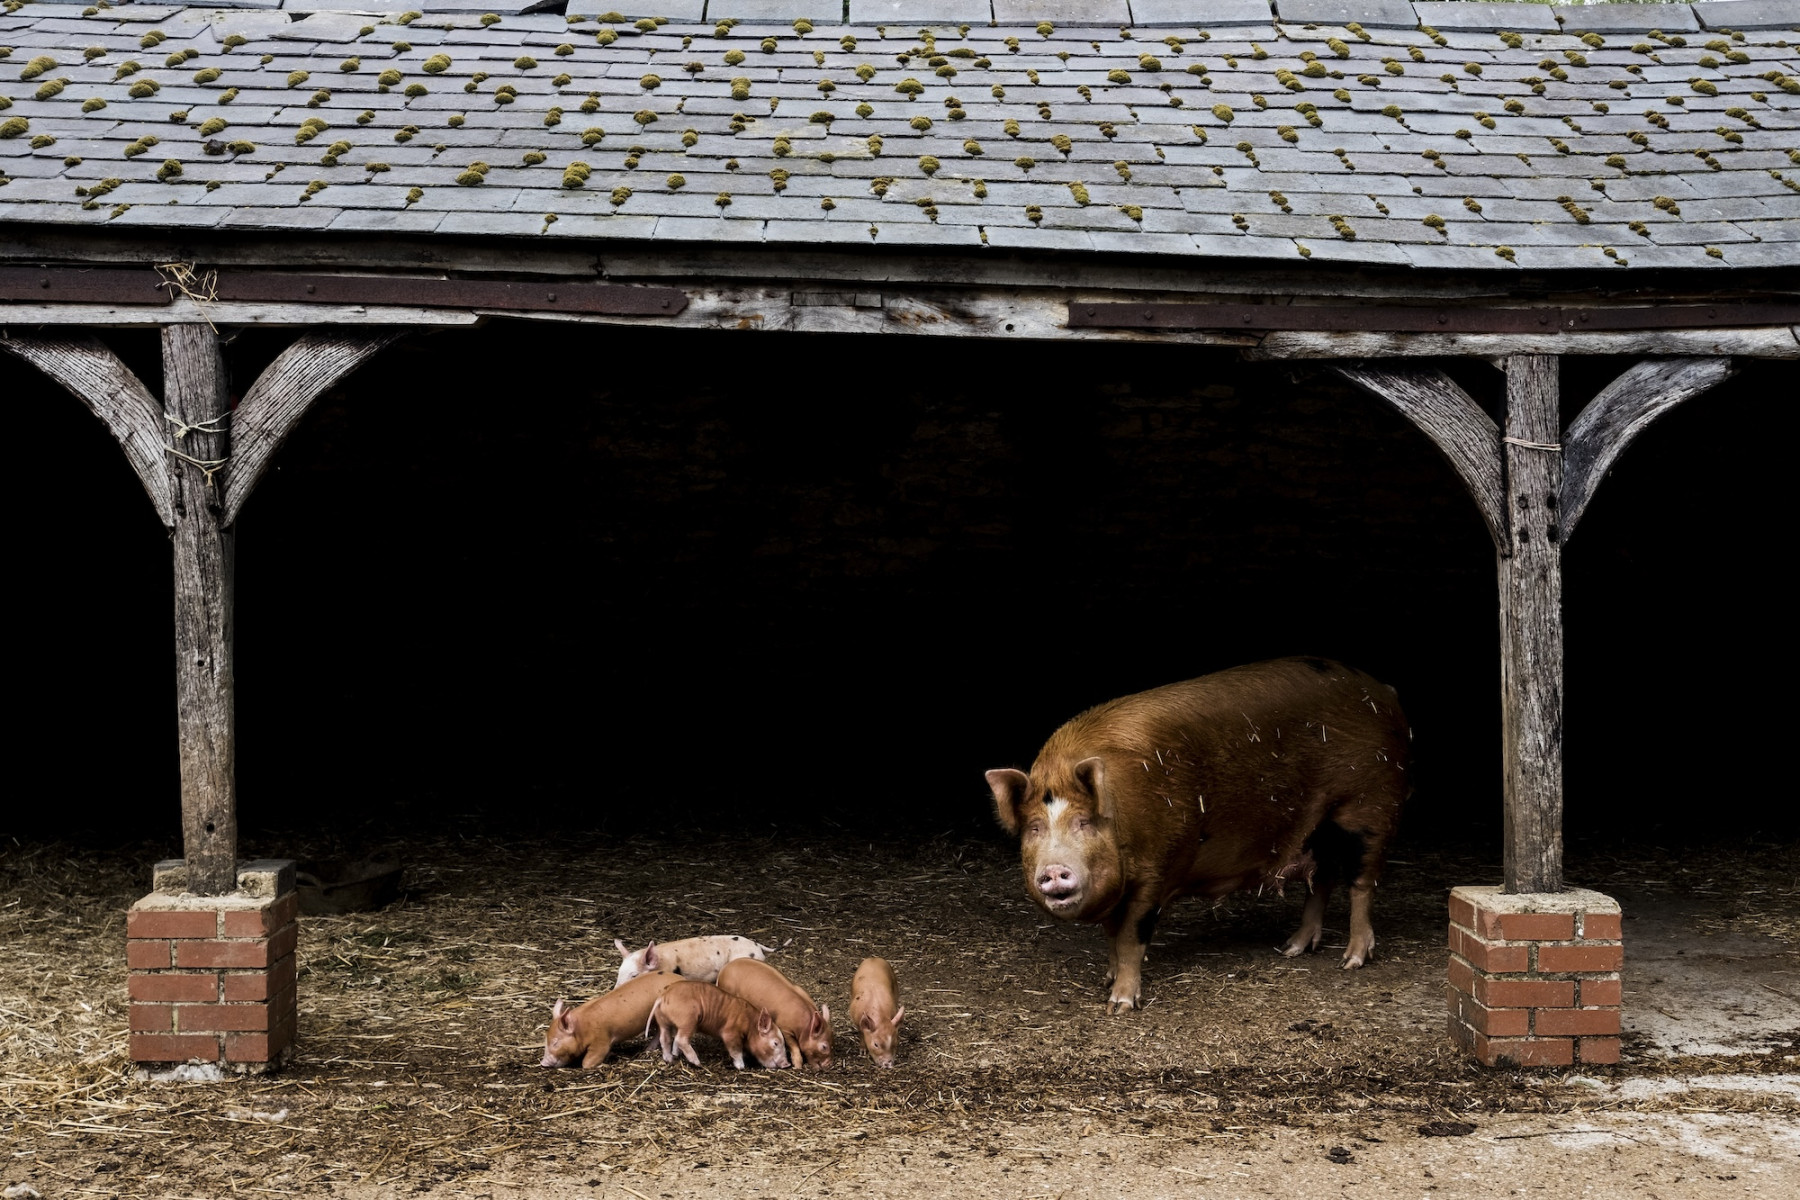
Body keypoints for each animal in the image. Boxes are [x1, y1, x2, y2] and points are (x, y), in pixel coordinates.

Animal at [541, 970, 683, 1068]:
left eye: (555, 1042)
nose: (543, 1063)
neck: (583, 1027)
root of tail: (681, 979)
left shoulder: (601, 1040)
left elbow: (588, 1062)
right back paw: (647, 1049)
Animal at [647, 979, 790, 1070]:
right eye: (775, 1043)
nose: (787, 1064)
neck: (749, 1024)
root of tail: (663, 996)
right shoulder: (730, 1033)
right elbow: (735, 1050)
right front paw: (741, 1066)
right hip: (688, 1018)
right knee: (681, 1038)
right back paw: (698, 1063)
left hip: (663, 1020)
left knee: (666, 1038)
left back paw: (670, 1058)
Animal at [986, 657, 1410, 1013]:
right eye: (1035, 828)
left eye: (1083, 823)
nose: (1054, 869)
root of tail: (1384, 691)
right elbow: (1111, 936)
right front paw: (1107, 978)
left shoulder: (1154, 874)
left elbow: (1131, 936)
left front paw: (1120, 1006)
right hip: (1318, 826)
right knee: (1321, 878)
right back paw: (1292, 949)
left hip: (1368, 806)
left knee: (1361, 882)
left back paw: (1351, 961)